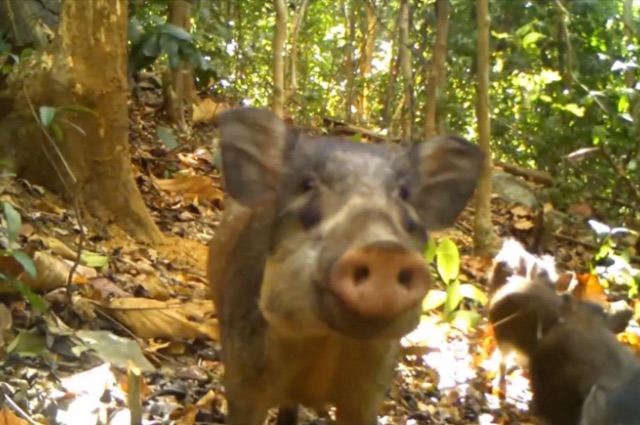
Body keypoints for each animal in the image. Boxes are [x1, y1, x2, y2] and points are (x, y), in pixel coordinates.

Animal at [207, 107, 484, 425]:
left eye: (403, 194)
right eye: (308, 185)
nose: (384, 250)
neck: (328, 343)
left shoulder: (370, 392)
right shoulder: (241, 377)